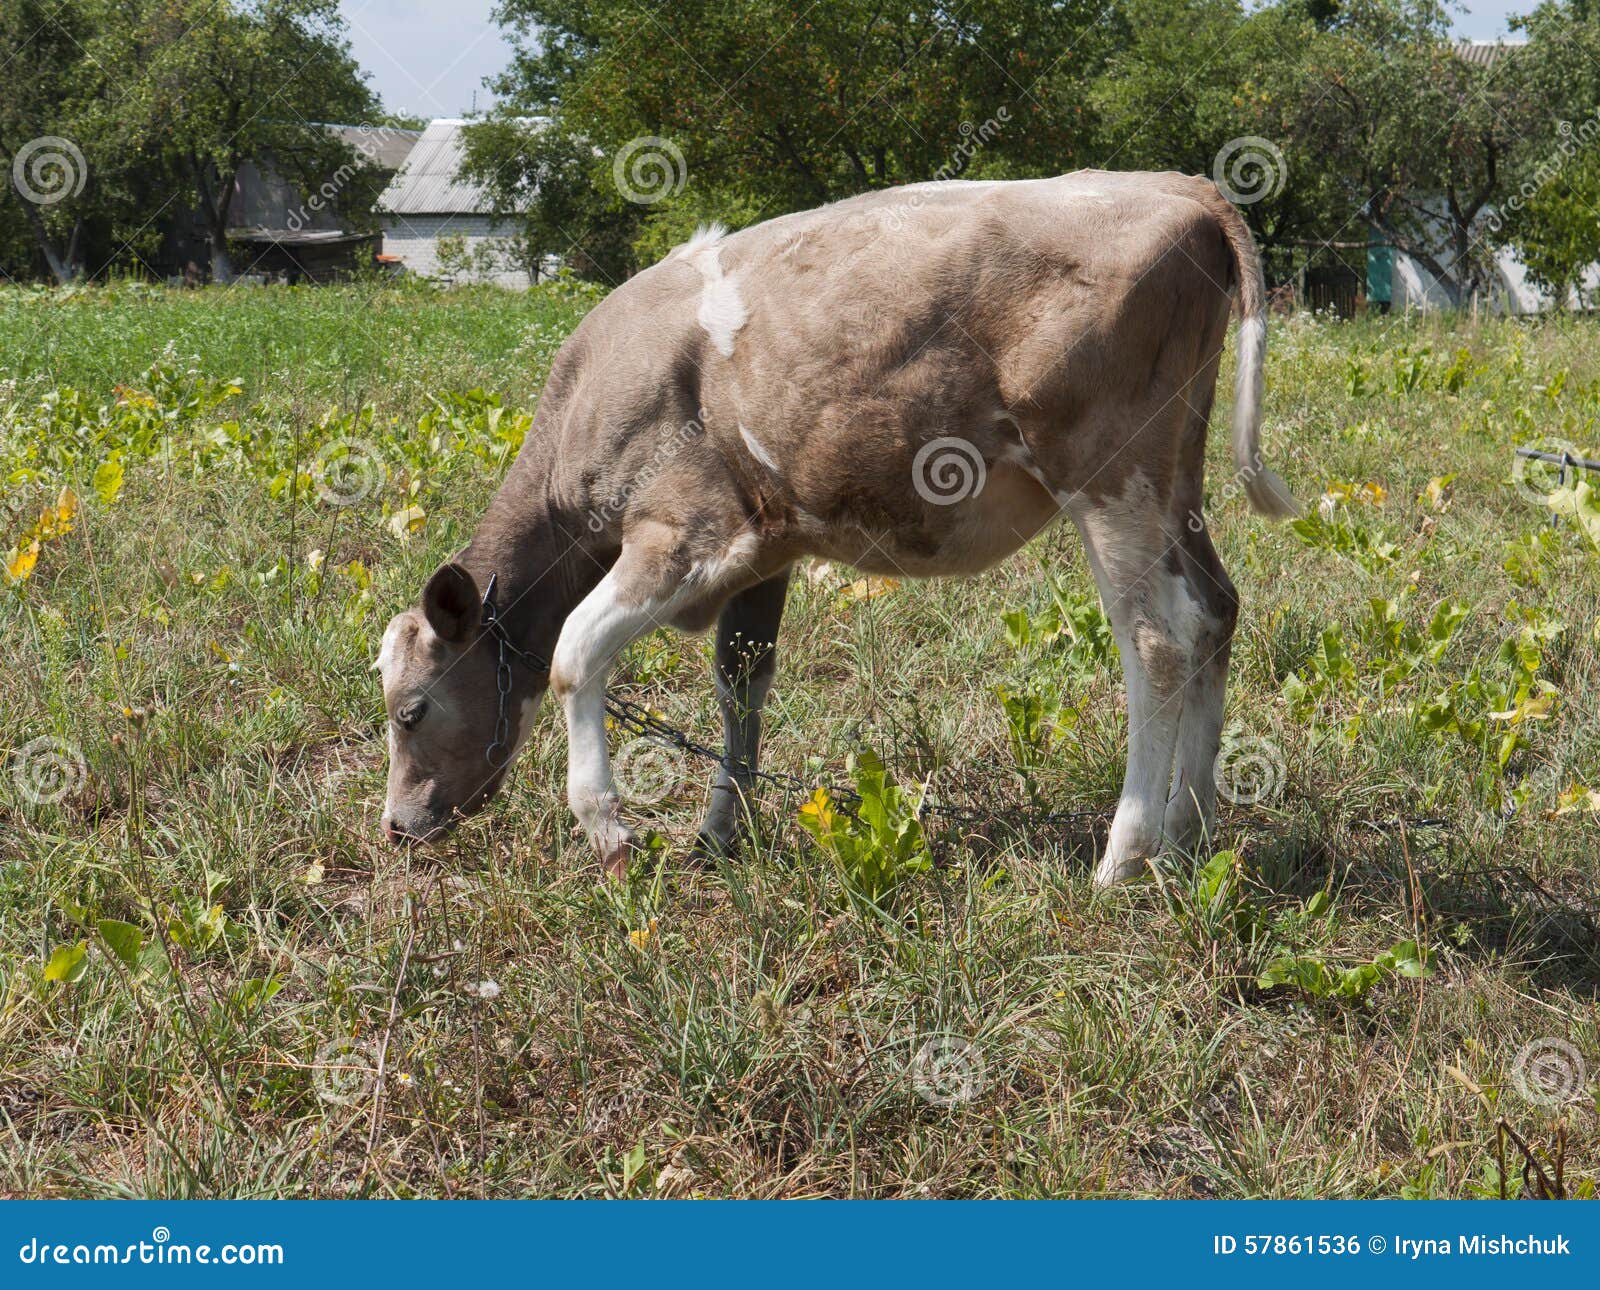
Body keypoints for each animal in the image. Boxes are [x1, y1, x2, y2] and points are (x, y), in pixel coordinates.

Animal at [374, 170, 1298, 888]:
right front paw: (720, 835)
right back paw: (1190, 837)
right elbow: (741, 684)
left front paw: (609, 832)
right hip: (1176, 474)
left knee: (1158, 641)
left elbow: (574, 653)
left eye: (411, 710)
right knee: (1215, 611)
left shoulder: (687, 532)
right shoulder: (763, 550)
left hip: (1109, 474)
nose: (395, 826)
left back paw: (1125, 856)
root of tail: (1181, 185)